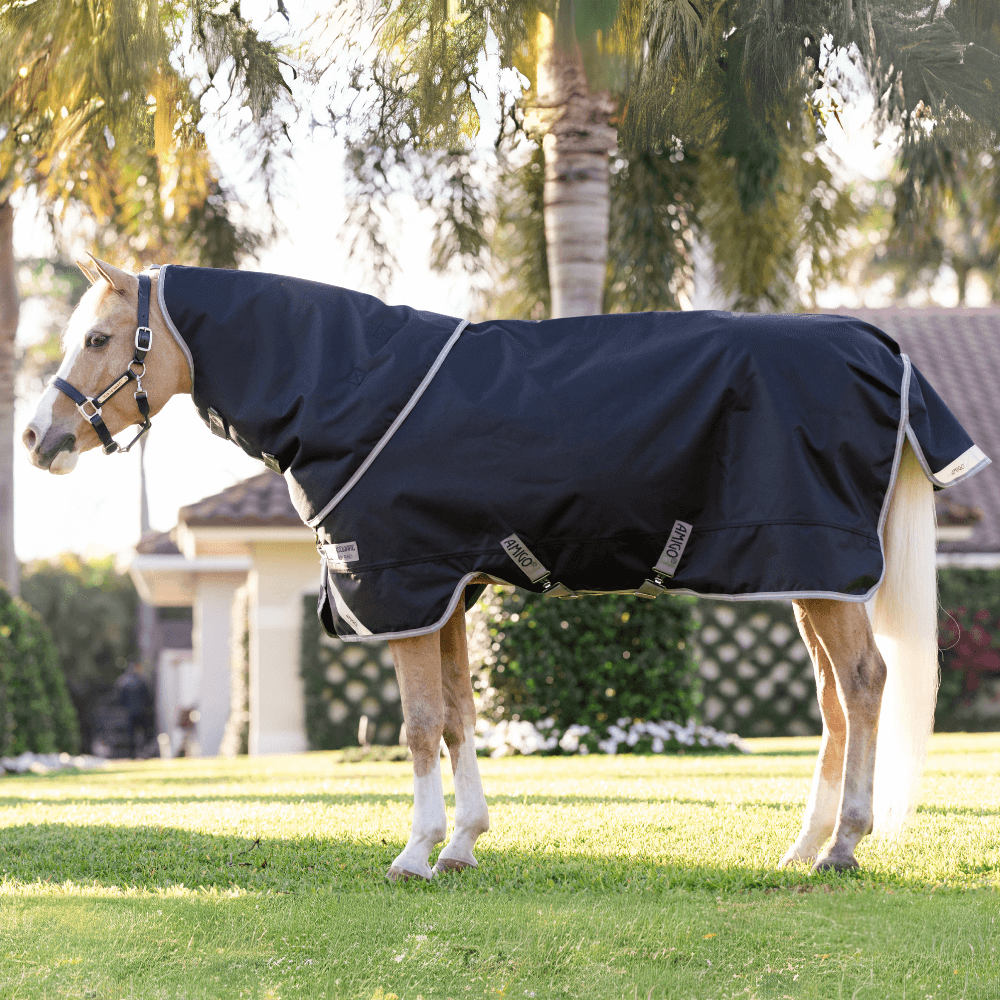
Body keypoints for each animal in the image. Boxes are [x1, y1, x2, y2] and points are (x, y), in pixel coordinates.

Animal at [23, 256, 957, 880]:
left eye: (100, 338)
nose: (36, 438)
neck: (347, 388)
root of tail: (881, 349)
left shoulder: (402, 586)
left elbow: (417, 725)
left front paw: (415, 851)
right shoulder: (449, 592)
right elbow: (461, 716)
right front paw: (464, 842)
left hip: (822, 567)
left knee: (866, 683)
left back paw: (844, 845)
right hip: (809, 576)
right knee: (834, 700)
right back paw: (803, 846)